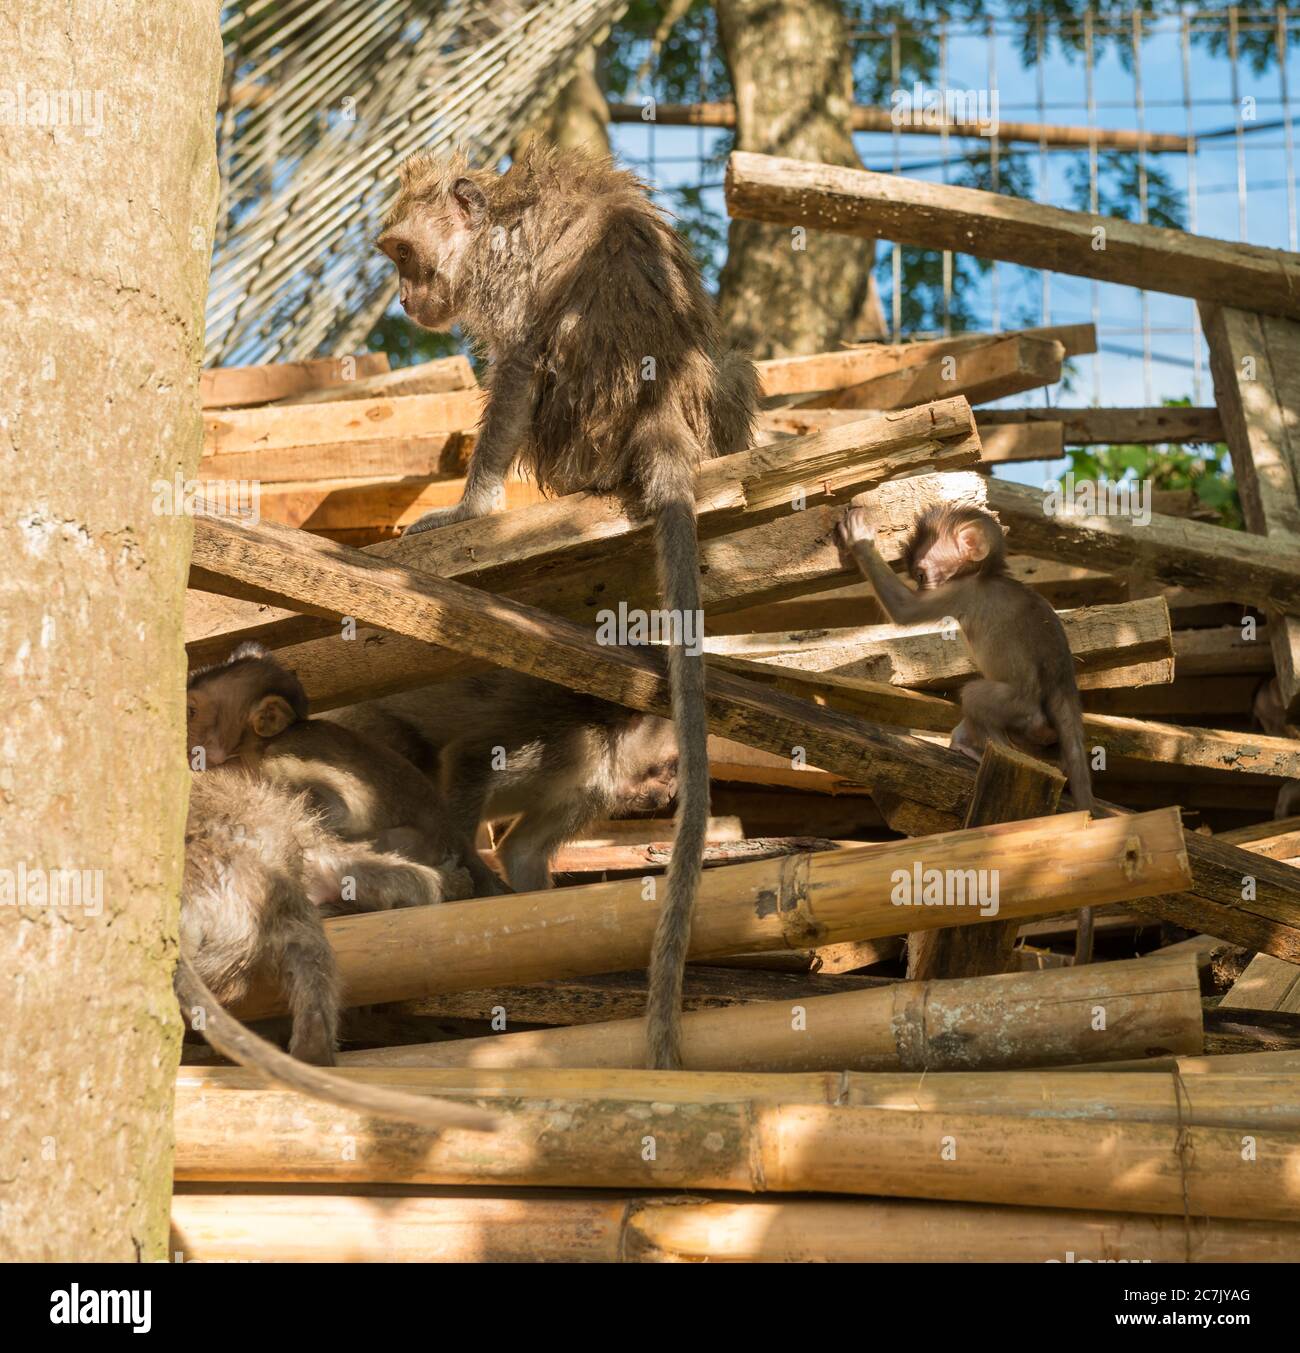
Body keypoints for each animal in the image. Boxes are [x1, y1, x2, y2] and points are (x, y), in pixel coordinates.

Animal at [327, 671, 680, 895]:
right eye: (671, 767)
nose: (670, 792)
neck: (602, 754)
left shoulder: (587, 796)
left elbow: (523, 852)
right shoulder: (565, 740)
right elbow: (469, 759)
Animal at [375, 142, 757, 1067]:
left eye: (404, 256)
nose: (404, 297)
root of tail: (658, 414)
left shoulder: (503, 277)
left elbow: (516, 364)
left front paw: (471, 506)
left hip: (575, 436)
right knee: (731, 365)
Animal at [836, 502, 1096, 965]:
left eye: (922, 572)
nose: (921, 580)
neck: (985, 575)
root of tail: (1063, 683)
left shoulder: (961, 592)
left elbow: (905, 611)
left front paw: (861, 537)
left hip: (1022, 709)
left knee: (978, 694)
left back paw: (985, 745)